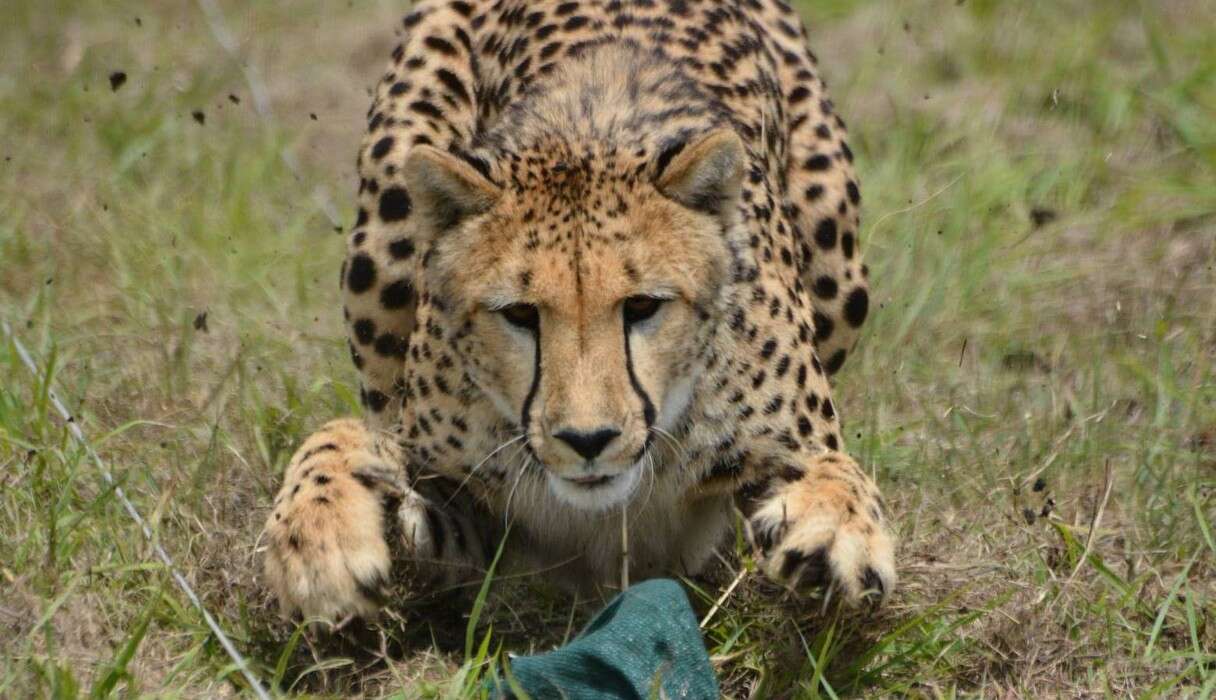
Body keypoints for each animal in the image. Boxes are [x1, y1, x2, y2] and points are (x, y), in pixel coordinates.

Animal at [262, 0, 895, 625]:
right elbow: (339, 436)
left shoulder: (776, 455)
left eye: (643, 305)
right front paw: (320, 542)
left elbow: (834, 467)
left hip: (837, 262)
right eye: (519, 314)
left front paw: (836, 529)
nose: (587, 440)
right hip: (386, 234)